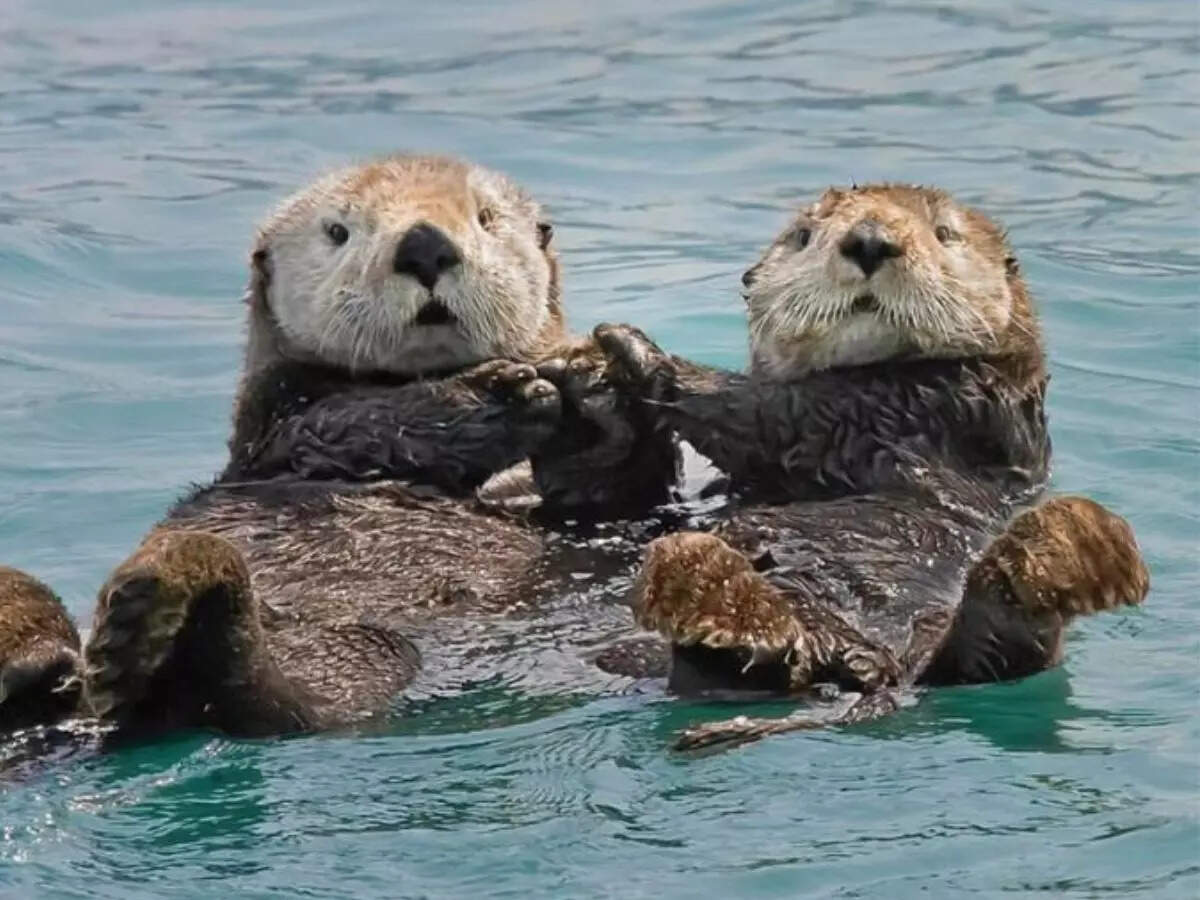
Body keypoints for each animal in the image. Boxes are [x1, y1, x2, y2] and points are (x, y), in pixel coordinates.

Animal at [0, 154, 677, 741]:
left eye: (487, 217)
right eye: (338, 231)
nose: (424, 245)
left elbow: (600, 487)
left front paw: (598, 388)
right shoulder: (281, 423)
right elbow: (358, 426)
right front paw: (500, 395)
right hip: (344, 645)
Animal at [589, 184, 1149, 748]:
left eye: (945, 233)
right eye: (804, 235)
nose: (870, 241)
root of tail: (873, 673)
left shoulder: (921, 408)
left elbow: (765, 413)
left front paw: (631, 346)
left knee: (999, 657)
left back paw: (1064, 557)